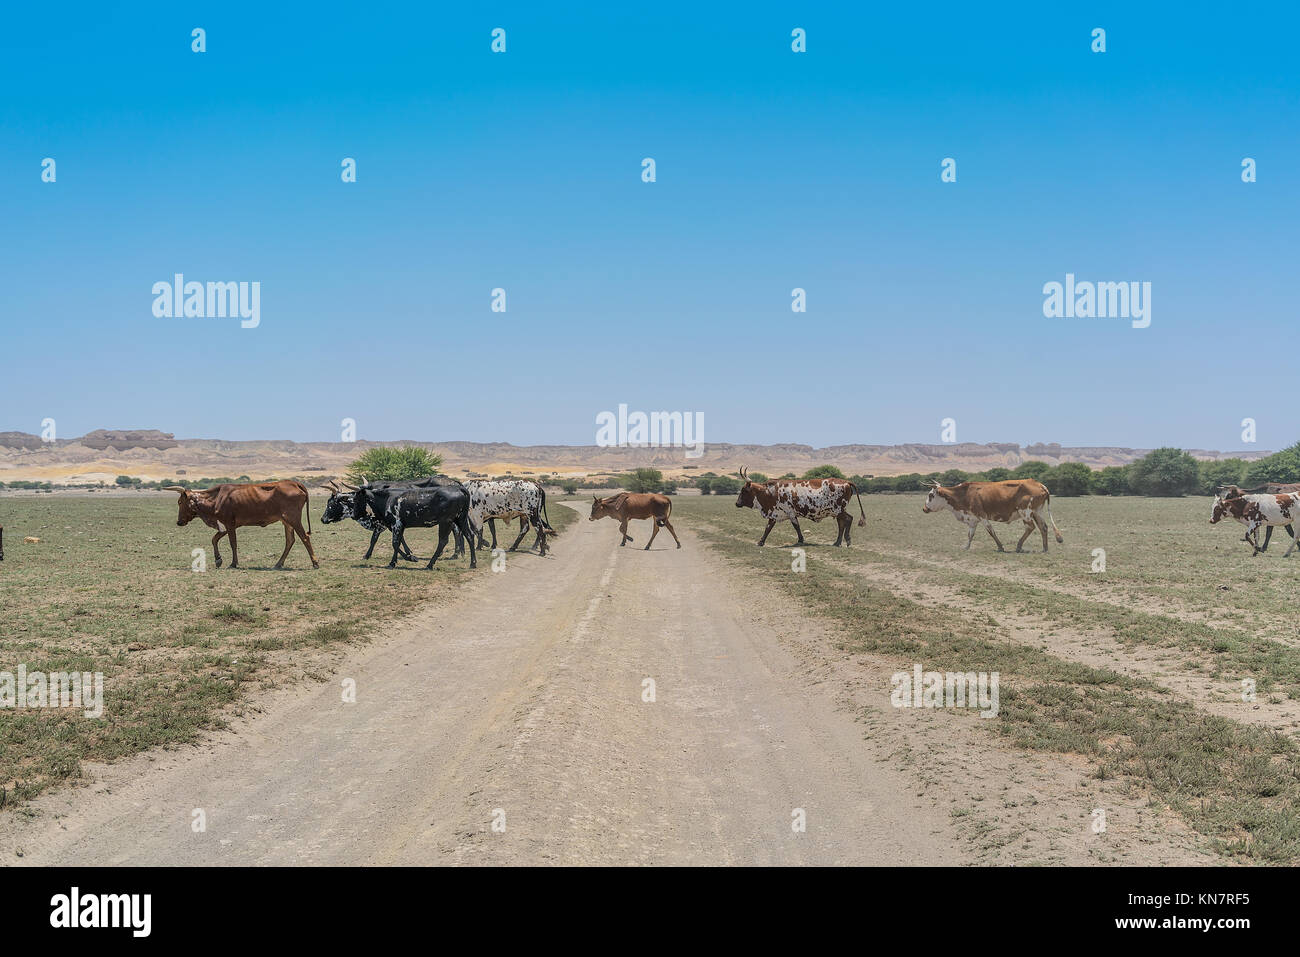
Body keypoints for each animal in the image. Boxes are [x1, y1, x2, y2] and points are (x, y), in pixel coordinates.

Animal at [164, 480, 319, 569]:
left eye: (179, 502)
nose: (179, 522)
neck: (215, 499)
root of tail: (294, 483)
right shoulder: (226, 526)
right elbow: (214, 539)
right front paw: (218, 560)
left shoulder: (229, 524)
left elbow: (233, 543)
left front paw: (233, 563)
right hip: (286, 522)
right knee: (290, 540)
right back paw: (278, 564)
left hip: (293, 519)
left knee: (305, 538)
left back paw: (315, 562)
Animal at [734, 468, 867, 547]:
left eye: (744, 490)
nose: (737, 503)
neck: (770, 492)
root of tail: (846, 481)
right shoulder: (780, 513)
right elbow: (789, 526)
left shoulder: (784, 513)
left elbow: (773, 527)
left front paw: (761, 542)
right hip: (837, 512)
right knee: (842, 523)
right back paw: (837, 542)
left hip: (839, 510)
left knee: (848, 519)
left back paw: (847, 540)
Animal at [921, 479, 1063, 552]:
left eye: (930, 495)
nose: (924, 508)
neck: (964, 494)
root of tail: (1039, 484)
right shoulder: (973, 519)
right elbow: (970, 534)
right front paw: (966, 547)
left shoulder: (982, 516)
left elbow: (991, 531)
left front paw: (1000, 547)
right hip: (1037, 511)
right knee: (1043, 527)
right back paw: (1044, 548)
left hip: (1025, 512)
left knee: (1030, 527)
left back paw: (1019, 546)